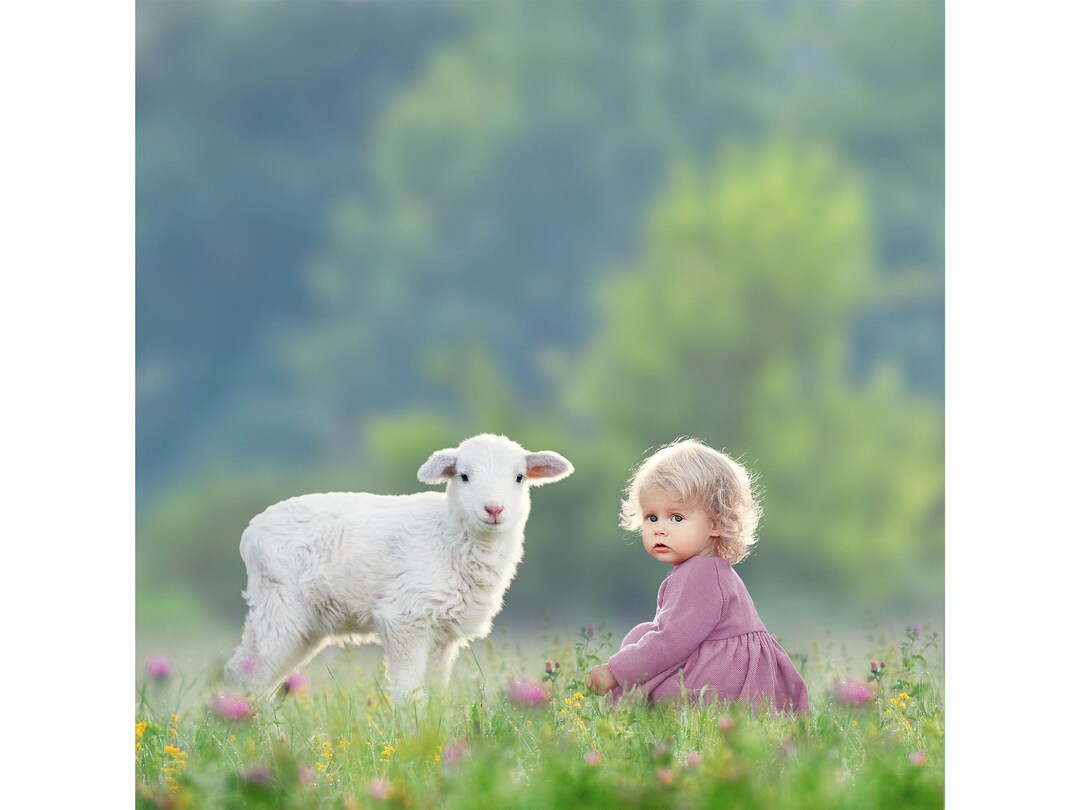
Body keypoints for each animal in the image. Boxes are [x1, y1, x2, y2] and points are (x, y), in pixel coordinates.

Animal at [225, 433, 574, 702]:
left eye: (519, 477)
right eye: (464, 475)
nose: (494, 509)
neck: (447, 534)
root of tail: (251, 532)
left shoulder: (443, 635)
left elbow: (436, 693)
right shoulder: (406, 618)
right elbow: (410, 694)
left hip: (301, 621)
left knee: (247, 669)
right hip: (281, 606)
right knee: (252, 674)